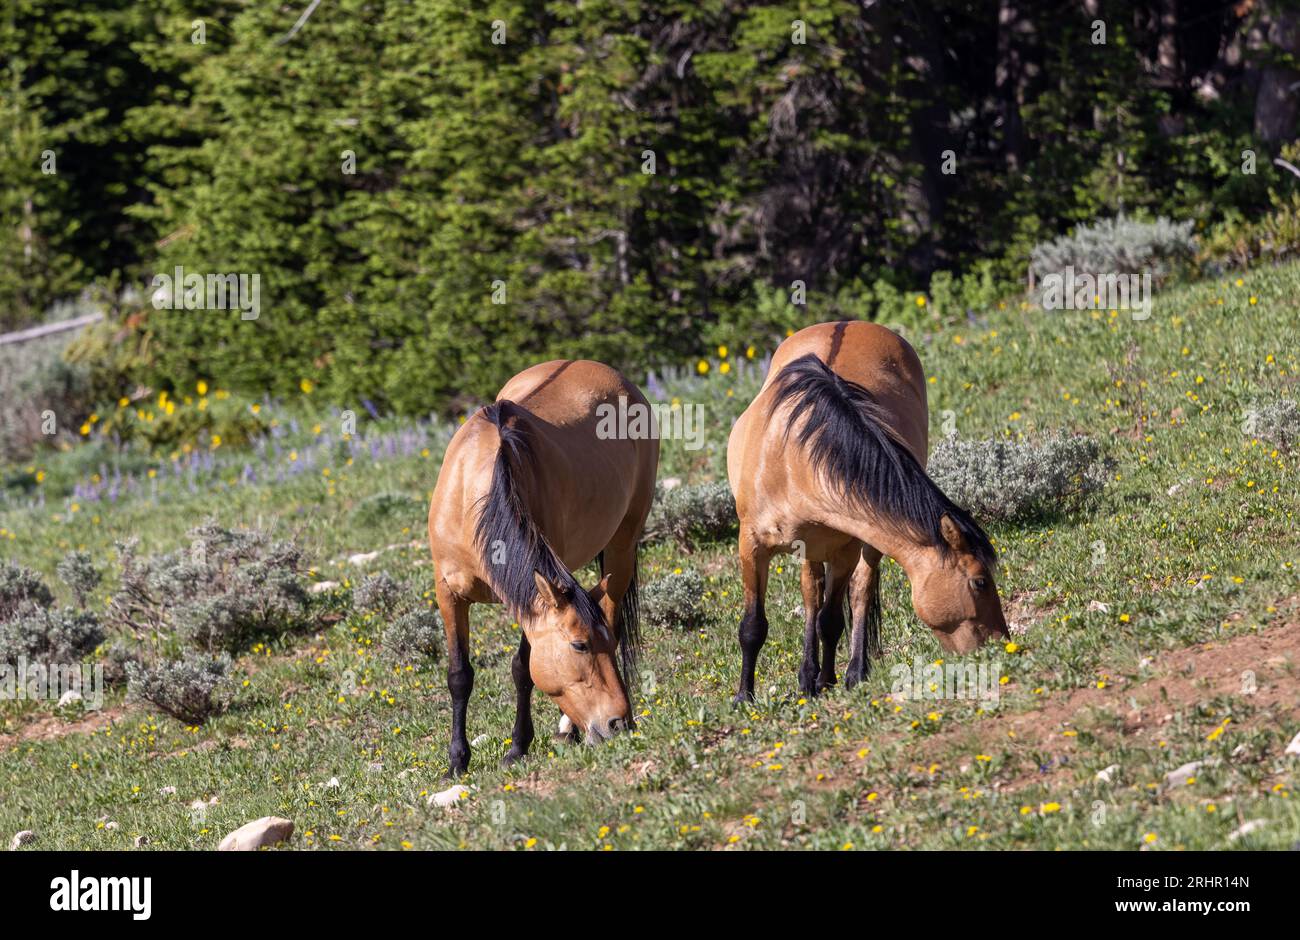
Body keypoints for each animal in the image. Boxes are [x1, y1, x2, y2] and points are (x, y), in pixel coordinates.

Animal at [428, 360, 659, 775]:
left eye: (603, 645)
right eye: (579, 645)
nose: (619, 723)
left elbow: (523, 668)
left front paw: (518, 746)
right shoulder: (448, 592)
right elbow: (459, 675)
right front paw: (457, 761)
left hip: (623, 545)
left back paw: (568, 729)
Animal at [726, 320, 1008, 700]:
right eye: (980, 582)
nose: (1002, 643)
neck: (793, 459)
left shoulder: (845, 547)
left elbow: (833, 617)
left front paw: (830, 679)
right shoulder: (751, 544)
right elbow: (753, 625)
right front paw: (745, 696)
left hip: (862, 543)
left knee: (858, 590)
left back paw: (848, 671)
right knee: (811, 591)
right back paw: (807, 677)